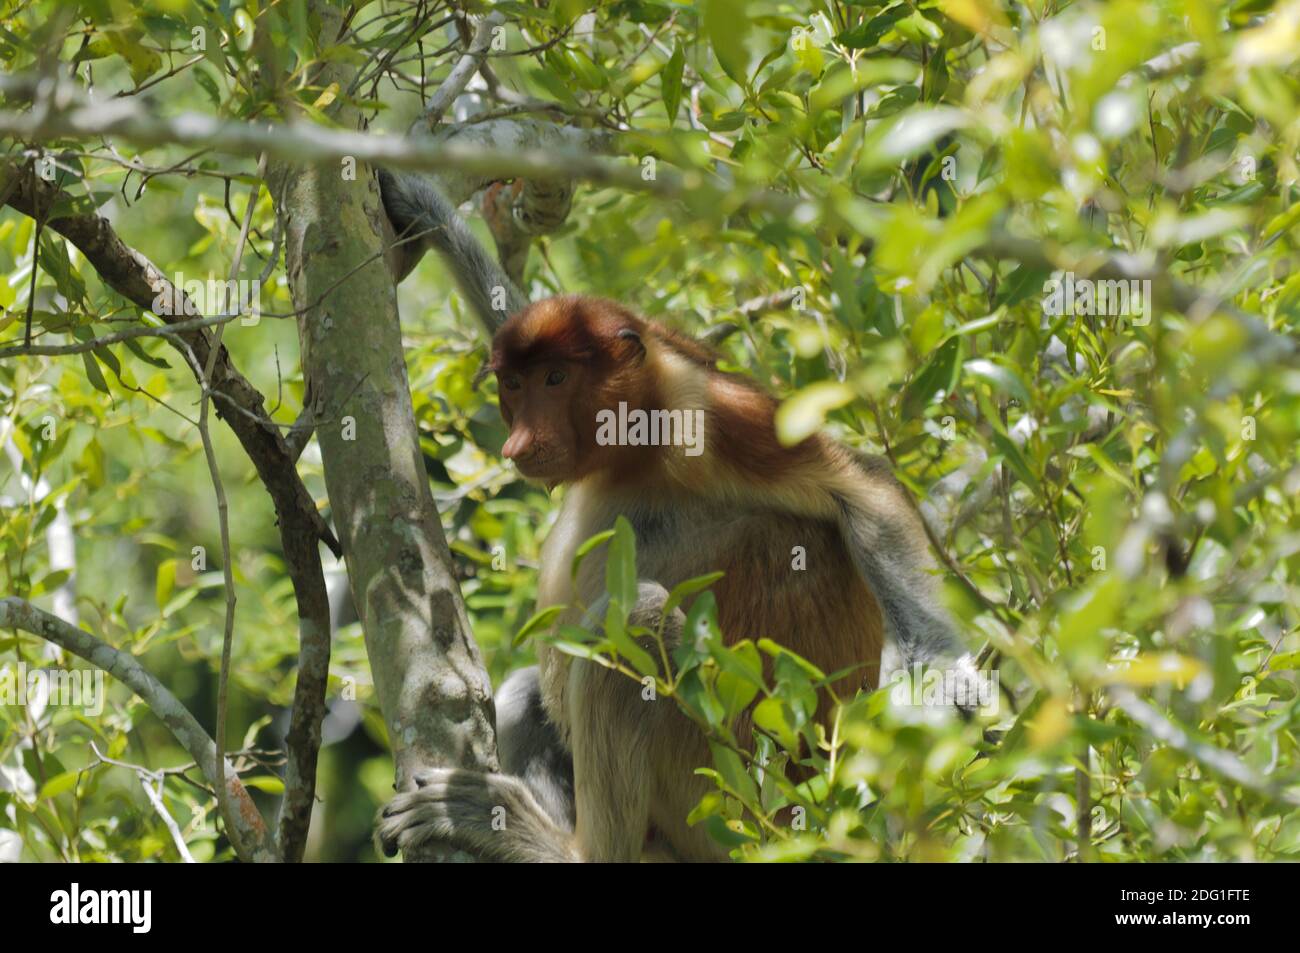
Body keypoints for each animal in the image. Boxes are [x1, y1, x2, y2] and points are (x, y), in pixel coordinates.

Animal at [374, 171, 976, 862]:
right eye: (516, 385)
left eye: (556, 378)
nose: (519, 443)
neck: (635, 443)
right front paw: (419, 204)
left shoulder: (709, 414)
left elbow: (863, 489)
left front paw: (945, 678)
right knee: (532, 690)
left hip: (724, 784)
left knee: (638, 619)